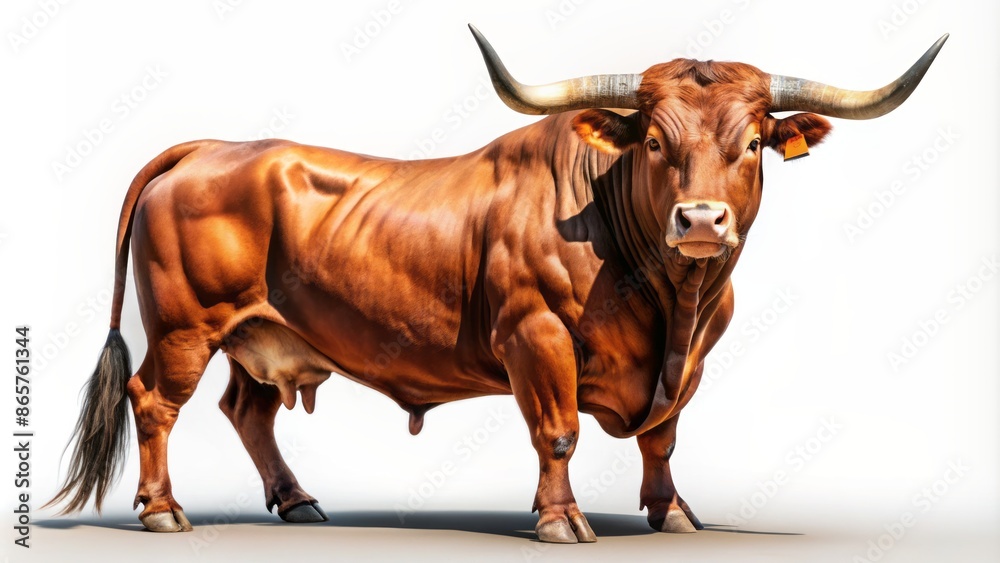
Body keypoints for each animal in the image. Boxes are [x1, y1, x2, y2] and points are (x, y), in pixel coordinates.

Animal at [47, 26, 947, 543]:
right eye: (655, 140)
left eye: (754, 142)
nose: (700, 220)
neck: (671, 301)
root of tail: (210, 146)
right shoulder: (536, 336)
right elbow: (558, 432)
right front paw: (560, 519)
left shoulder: (691, 360)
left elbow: (662, 437)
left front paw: (673, 513)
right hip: (187, 326)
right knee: (154, 401)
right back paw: (162, 510)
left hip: (262, 336)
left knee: (248, 411)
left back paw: (299, 501)